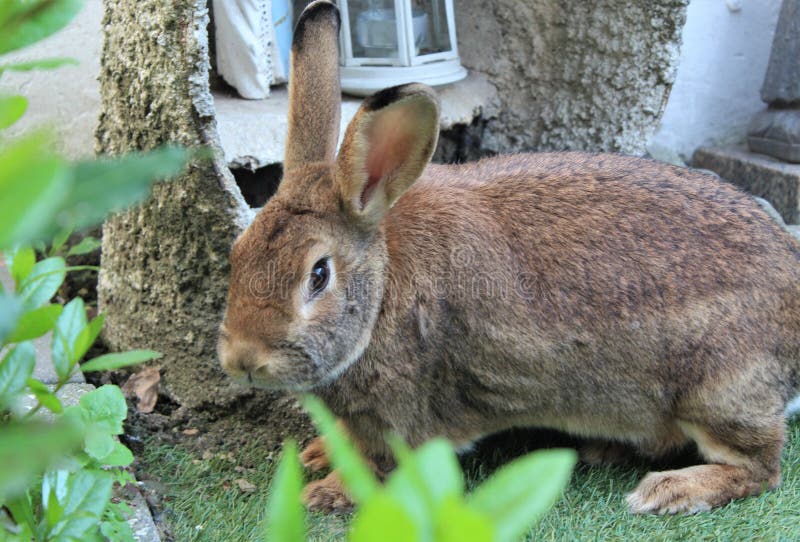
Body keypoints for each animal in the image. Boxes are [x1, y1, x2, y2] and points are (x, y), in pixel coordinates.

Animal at [218, 0, 800, 515]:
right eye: (235, 255)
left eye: (318, 275)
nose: (243, 360)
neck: (382, 288)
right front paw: (319, 453)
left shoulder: (404, 414)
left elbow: (378, 466)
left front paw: (325, 492)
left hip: (717, 389)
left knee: (760, 468)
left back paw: (670, 490)